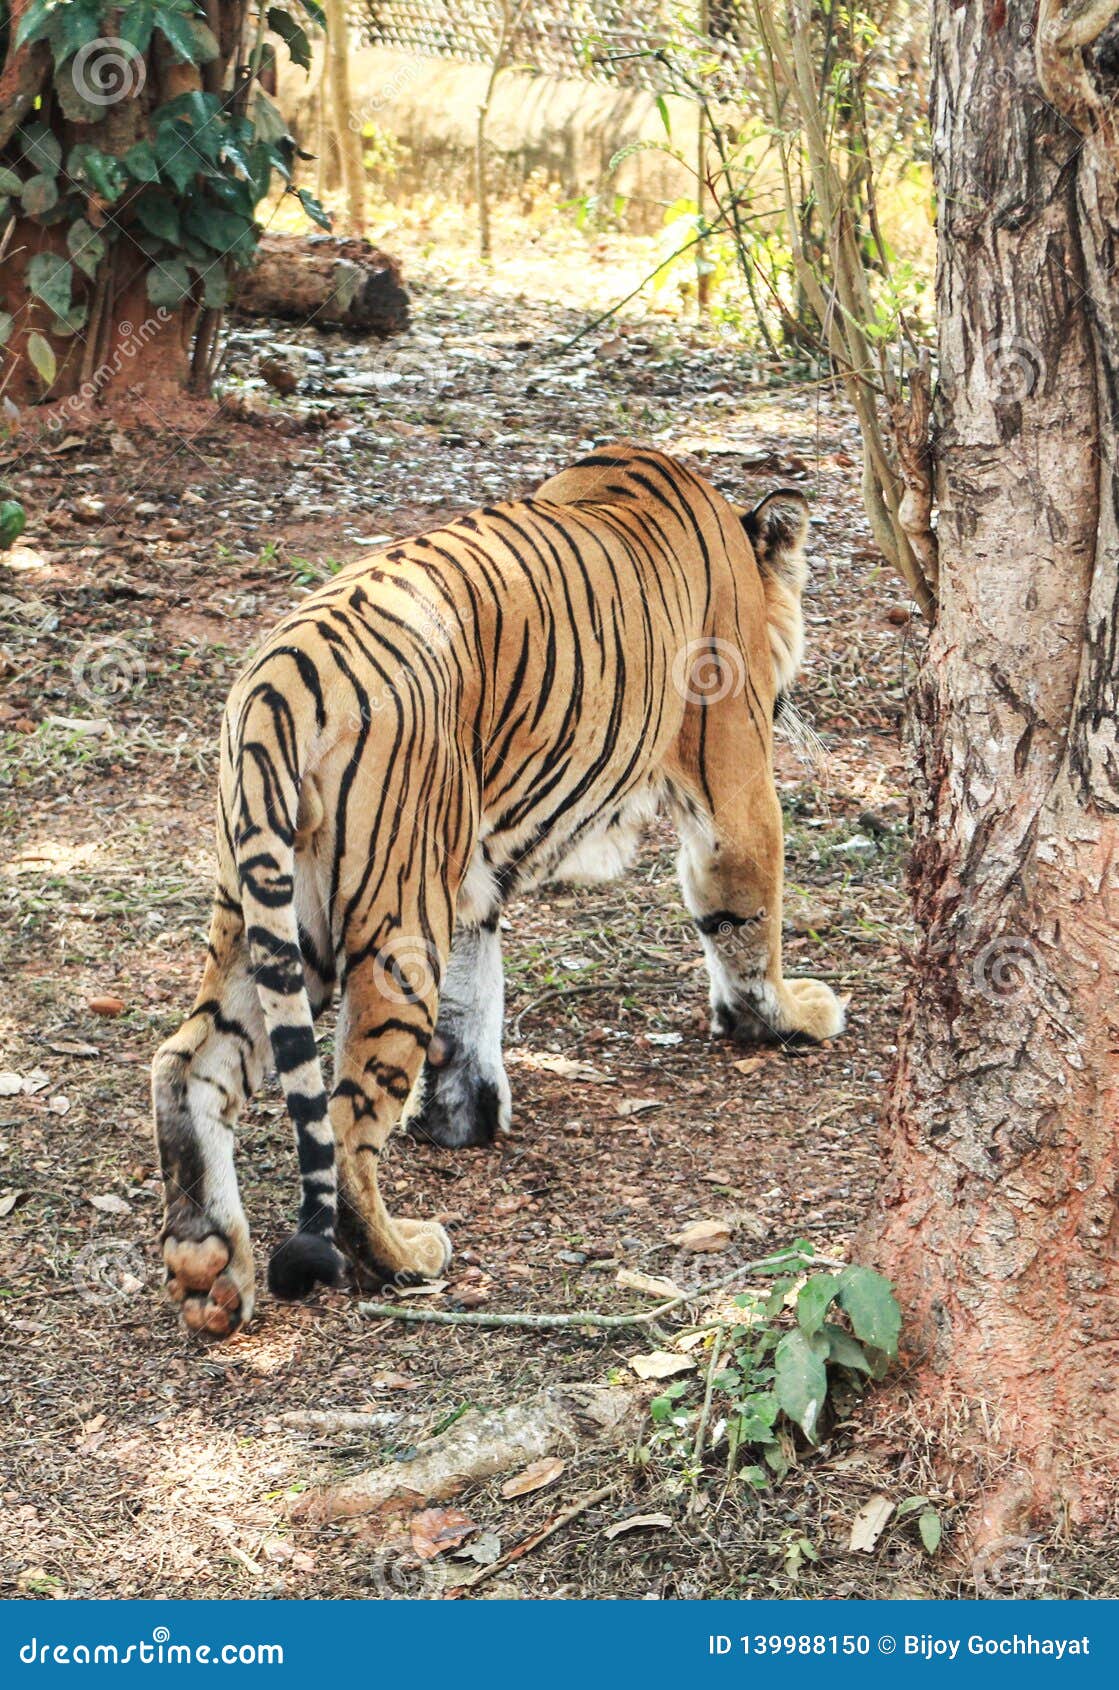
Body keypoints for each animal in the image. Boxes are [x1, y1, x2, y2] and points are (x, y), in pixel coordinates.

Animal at [152, 443, 844, 1337]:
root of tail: (280, 681)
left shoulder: (467, 872)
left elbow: (471, 996)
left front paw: (462, 1114)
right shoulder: (732, 781)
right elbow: (745, 916)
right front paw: (784, 1017)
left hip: (273, 912)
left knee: (187, 1063)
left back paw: (208, 1271)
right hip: (392, 921)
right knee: (342, 1119)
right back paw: (404, 1254)